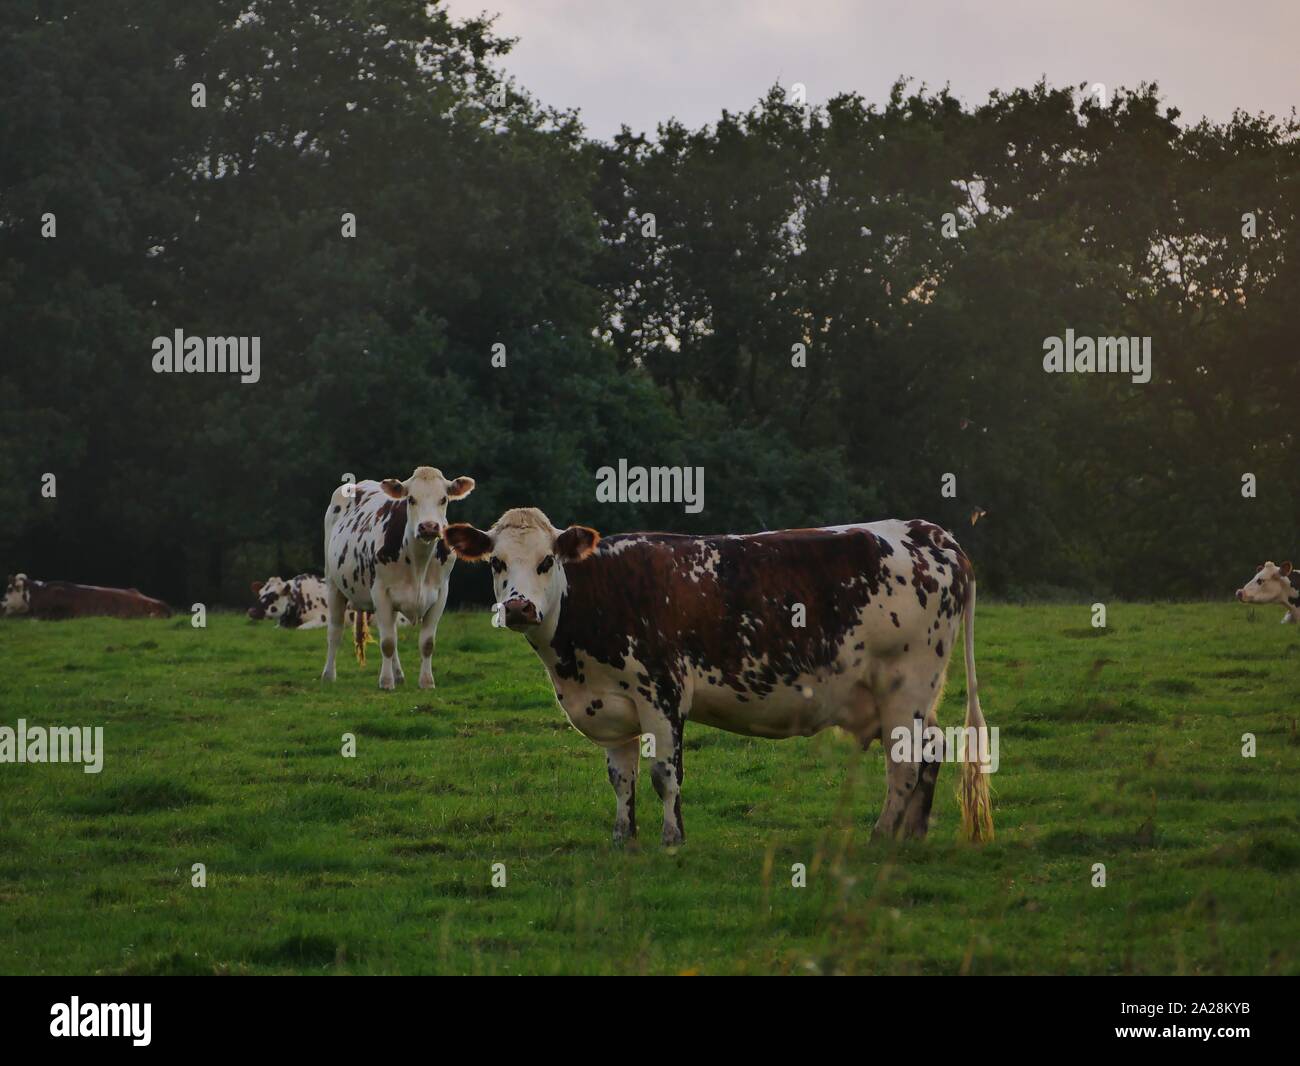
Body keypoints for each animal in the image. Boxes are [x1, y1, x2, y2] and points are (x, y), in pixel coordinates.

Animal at [321, 466, 474, 689]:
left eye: (443, 499)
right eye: (411, 499)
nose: (429, 527)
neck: (418, 563)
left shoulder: (440, 594)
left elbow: (427, 643)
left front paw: (426, 682)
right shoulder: (380, 592)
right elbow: (387, 643)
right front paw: (386, 682)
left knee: (390, 629)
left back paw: (399, 674)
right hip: (333, 584)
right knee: (335, 631)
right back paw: (328, 674)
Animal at [442, 509, 994, 847]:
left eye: (546, 561)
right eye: (496, 562)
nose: (519, 607)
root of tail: (930, 532)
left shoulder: (662, 694)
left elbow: (664, 774)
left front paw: (672, 840)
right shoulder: (611, 708)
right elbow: (621, 778)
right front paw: (623, 839)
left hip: (906, 685)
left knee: (905, 764)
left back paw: (880, 836)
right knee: (931, 751)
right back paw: (912, 835)